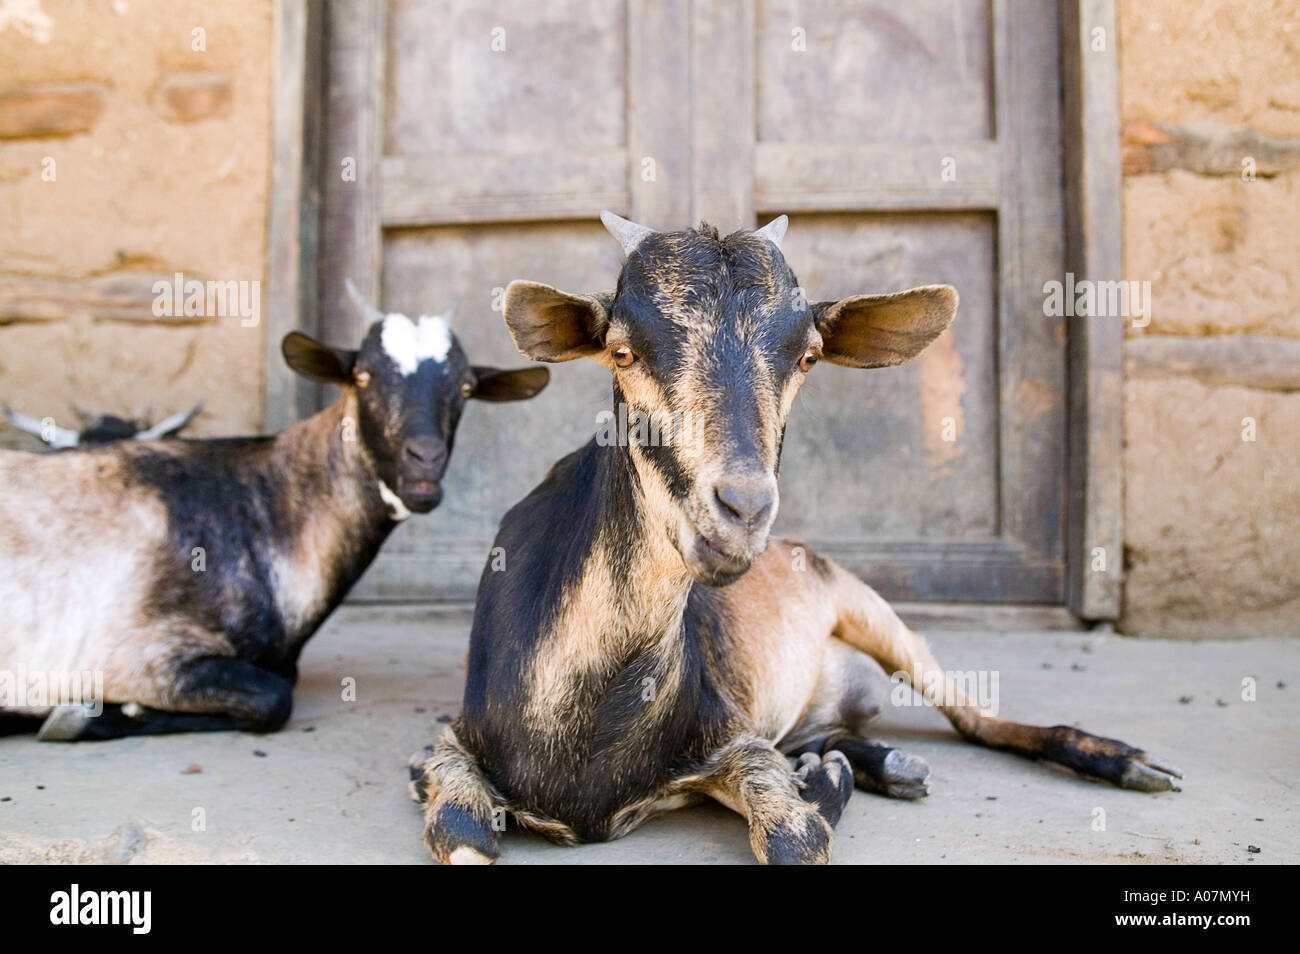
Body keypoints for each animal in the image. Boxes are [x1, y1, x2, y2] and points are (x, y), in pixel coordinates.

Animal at [0, 284, 547, 740]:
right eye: (363, 375)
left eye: (466, 387)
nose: (425, 460)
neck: (263, 505)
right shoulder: (137, 652)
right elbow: (272, 699)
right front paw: (80, 714)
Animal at [409, 213, 1182, 865]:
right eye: (621, 352)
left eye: (808, 358)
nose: (743, 509)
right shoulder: (455, 743)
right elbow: (458, 823)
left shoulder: (737, 741)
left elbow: (796, 834)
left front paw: (821, 791)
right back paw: (875, 761)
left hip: (867, 606)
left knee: (973, 718)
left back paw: (1124, 762)